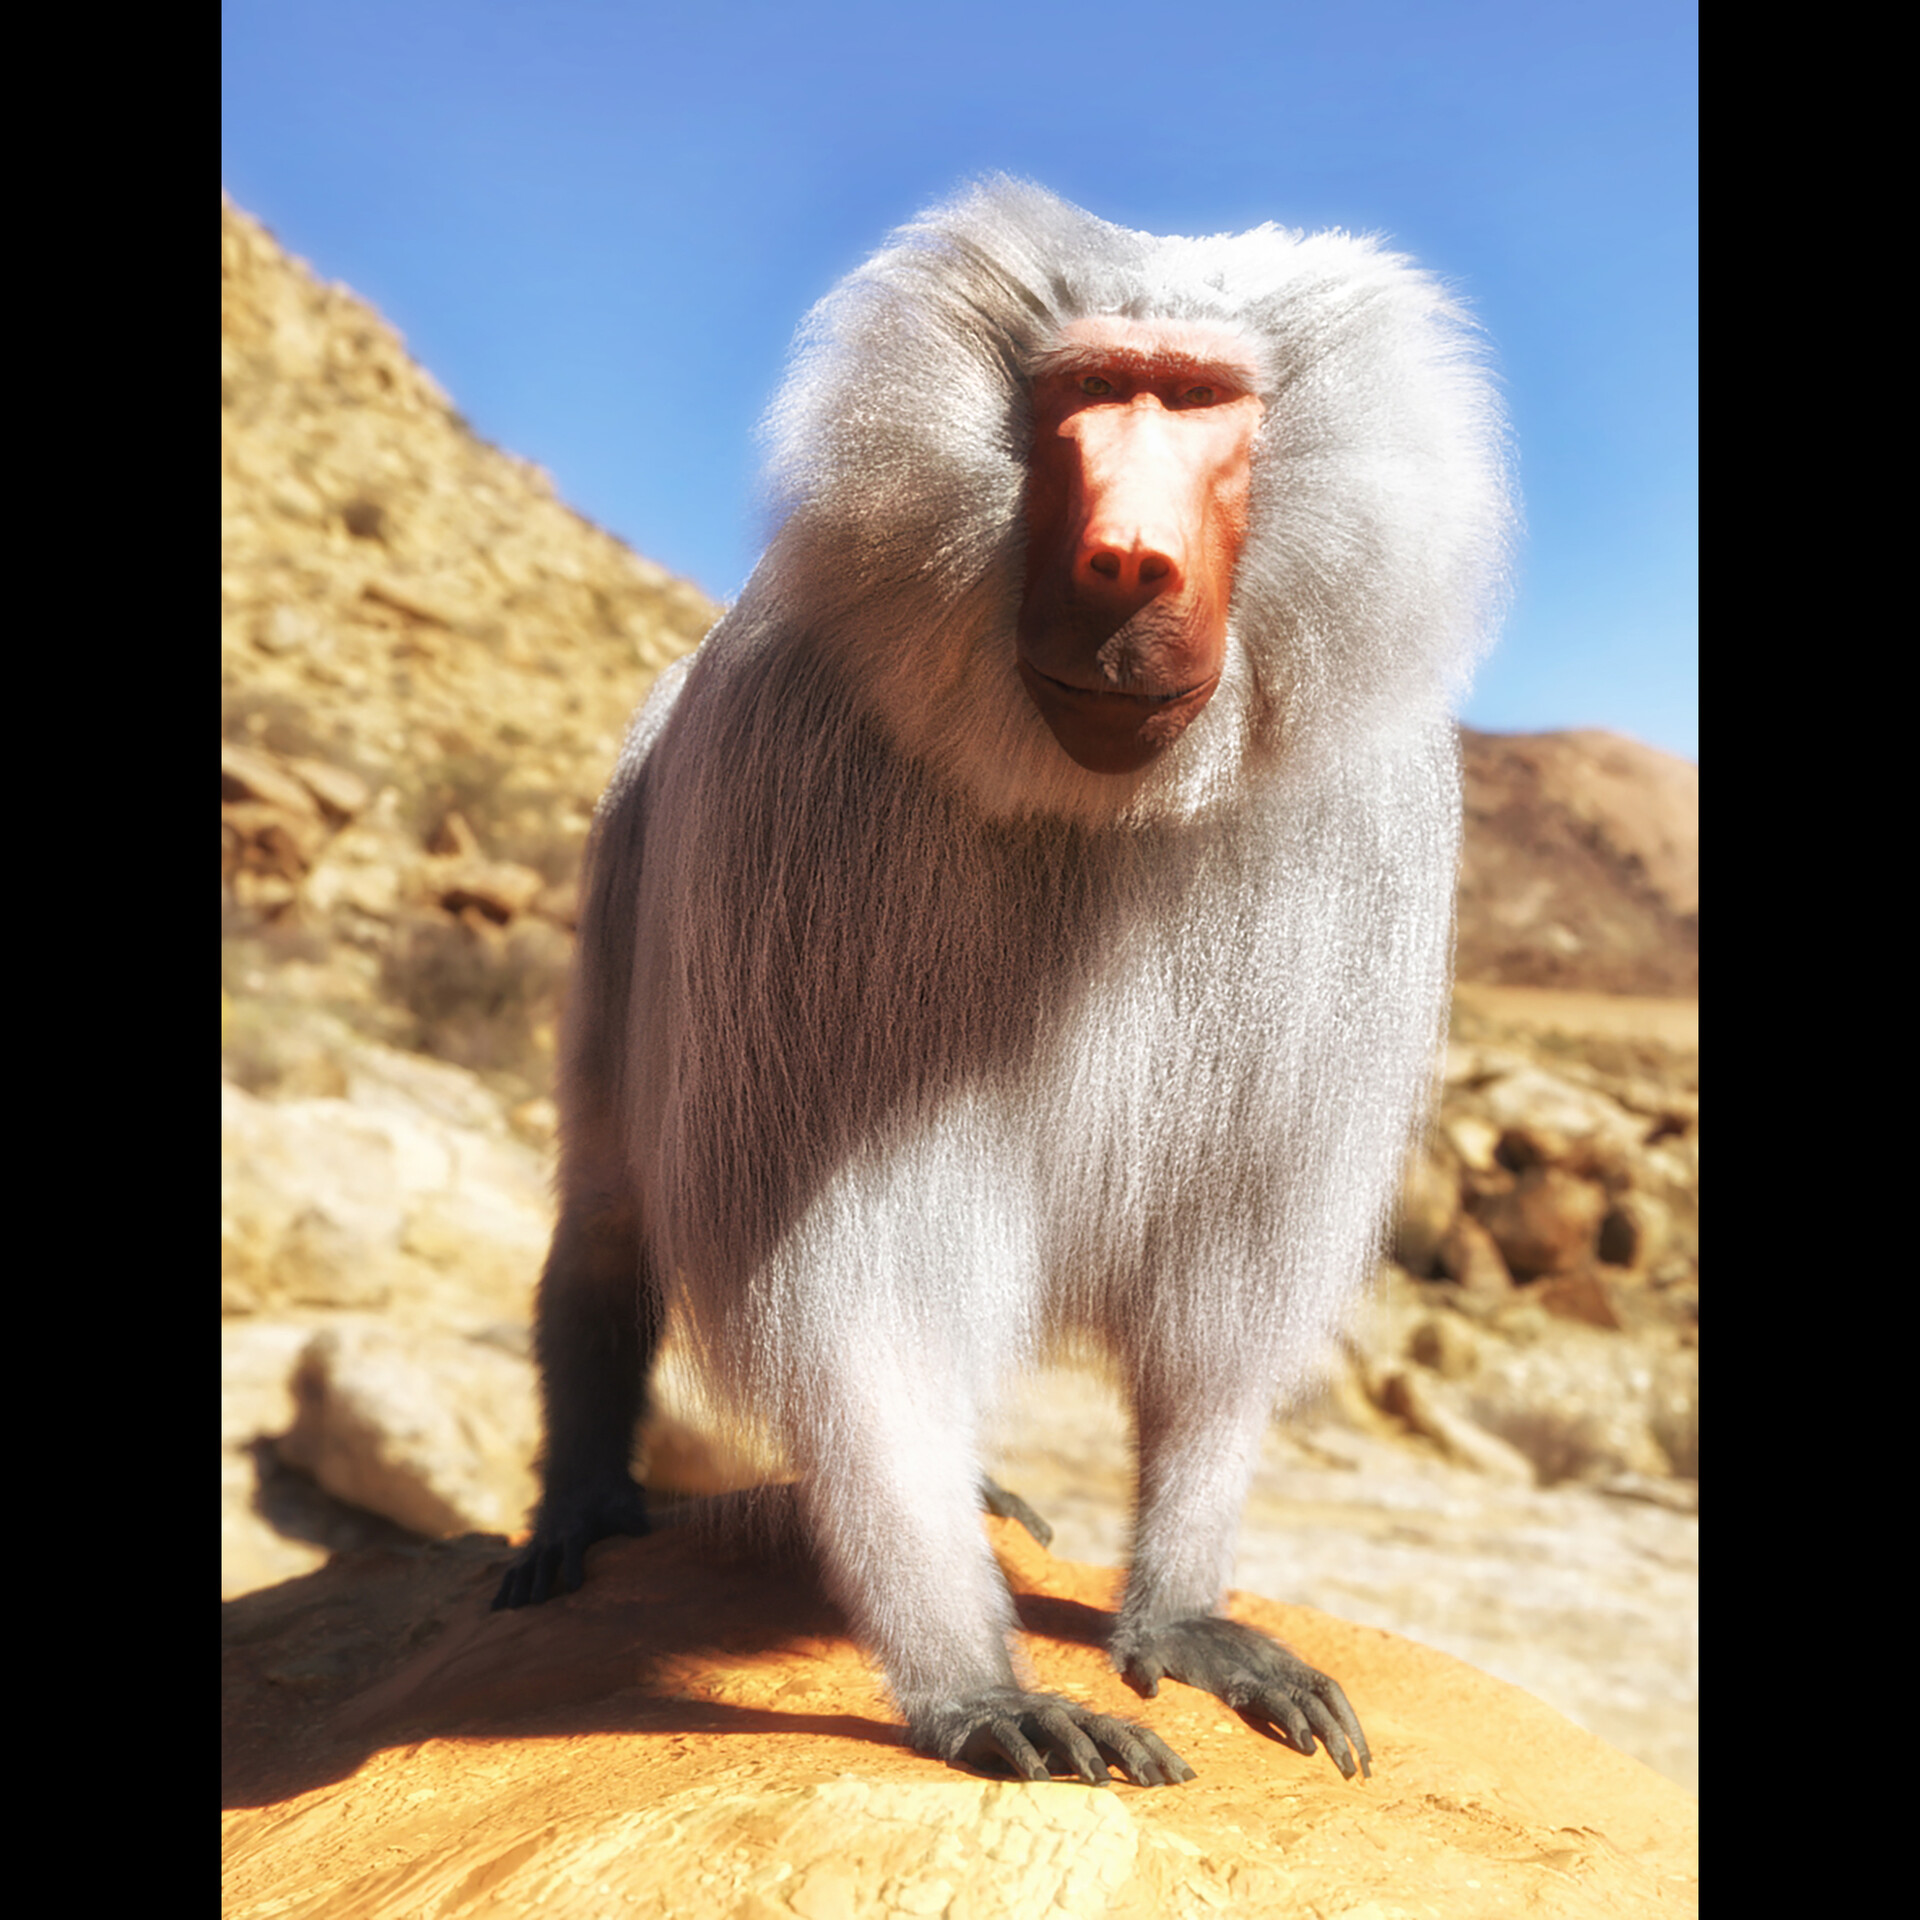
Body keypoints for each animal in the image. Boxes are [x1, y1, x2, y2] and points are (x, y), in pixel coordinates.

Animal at [494, 178, 1511, 1789]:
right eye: (1092, 395)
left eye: (1200, 401)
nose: (1130, 564)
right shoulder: (803, 790)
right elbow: (853, 1295)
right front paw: (976, 1687)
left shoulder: (1370, 820)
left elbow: (1230, 1270)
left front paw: (1178, 1619)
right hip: (628, 852)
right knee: (606, 1215)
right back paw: (583, 1497)